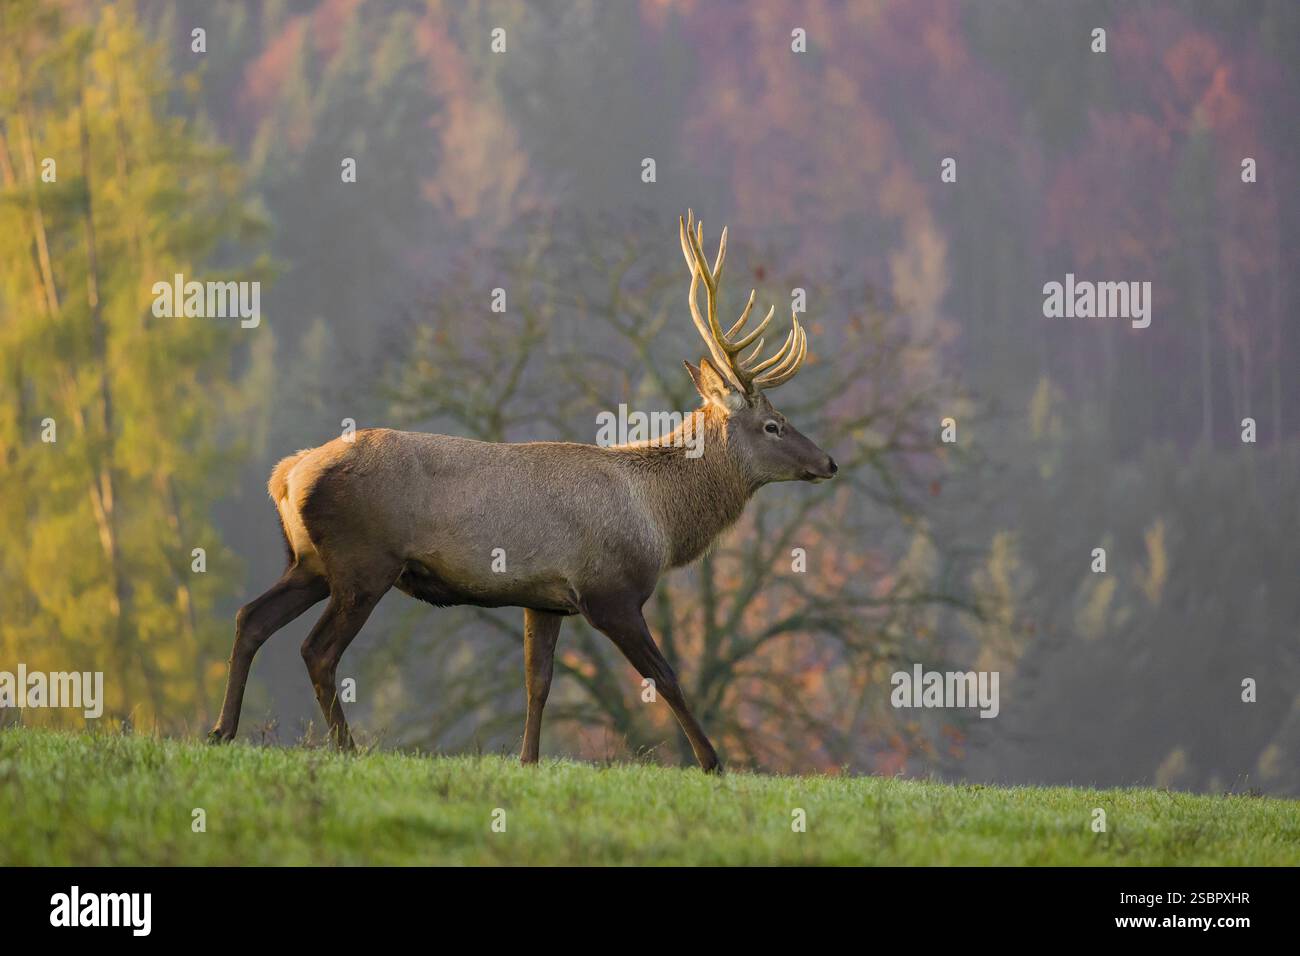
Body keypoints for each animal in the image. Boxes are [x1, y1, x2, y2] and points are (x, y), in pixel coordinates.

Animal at [209, 211, 837, 772]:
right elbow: (664, 676)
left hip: (309, 562)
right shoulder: (610, 591)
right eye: (773, 425)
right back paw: (345, 748)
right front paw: (713, 762)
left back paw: (222, 730)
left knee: (250, 617)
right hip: (363, 563)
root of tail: (287, 474)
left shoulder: (546, 598)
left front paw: (528, 759)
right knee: (316, 650)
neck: (660, 522)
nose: (829, 462)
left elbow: (538, 682)